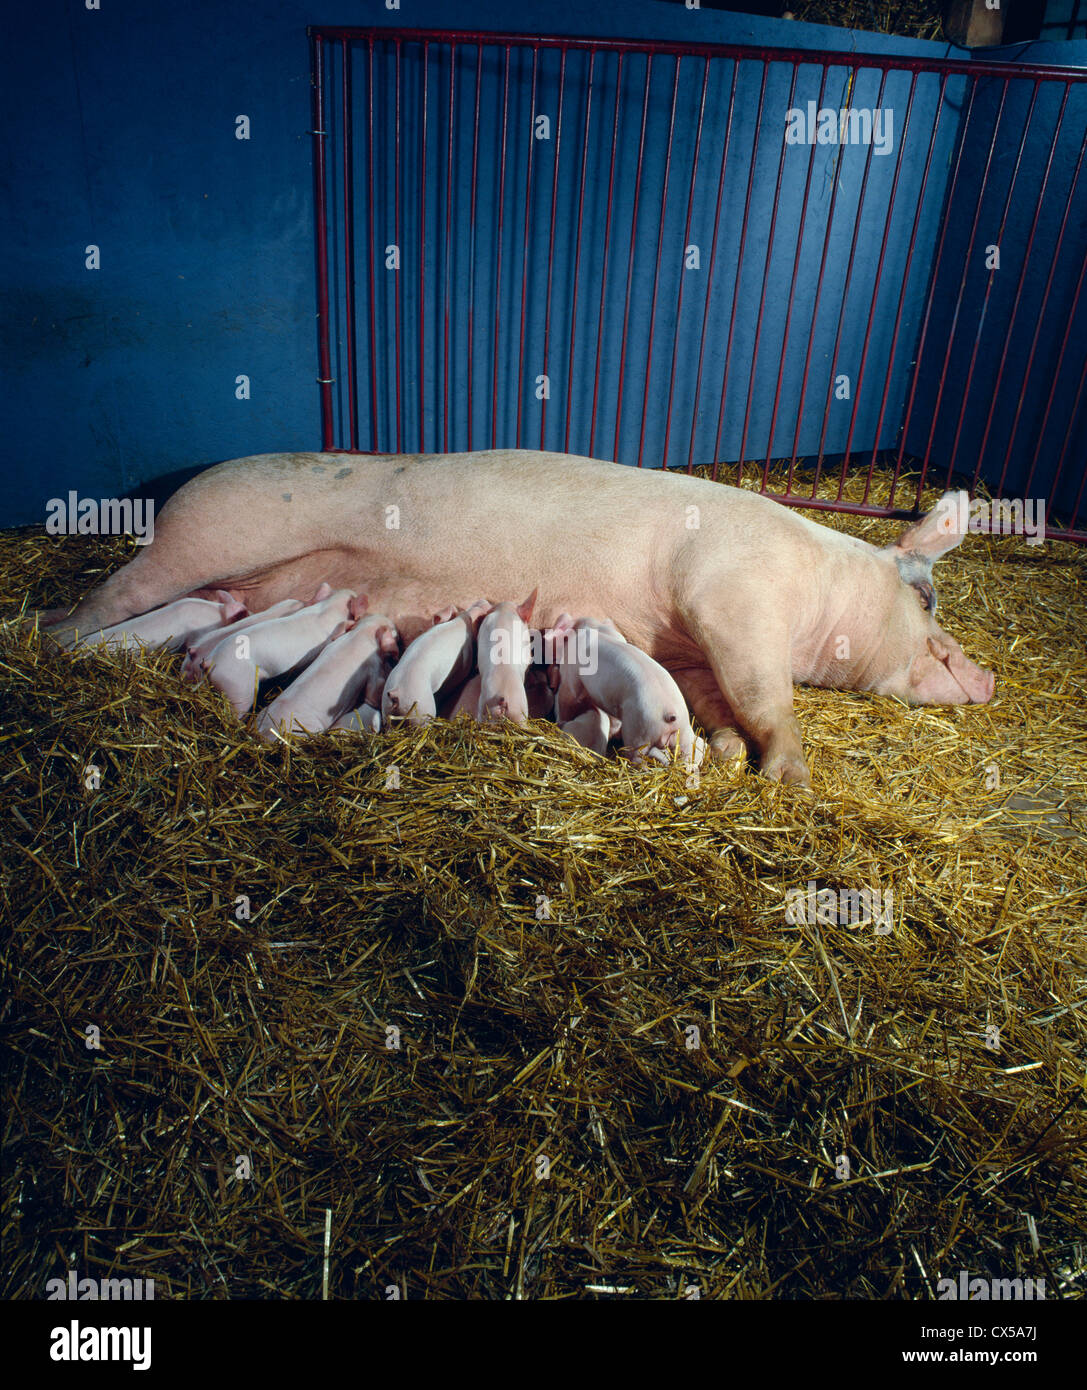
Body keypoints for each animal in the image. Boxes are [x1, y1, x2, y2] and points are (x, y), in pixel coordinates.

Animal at [550, 614, 703, 768]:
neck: (595, 628)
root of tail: (670, 713)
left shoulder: (571, 673)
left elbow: (568, 696)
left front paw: (560, 723)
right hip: (683, 730)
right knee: (689, 751)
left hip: (640, 731)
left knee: (638, 758)